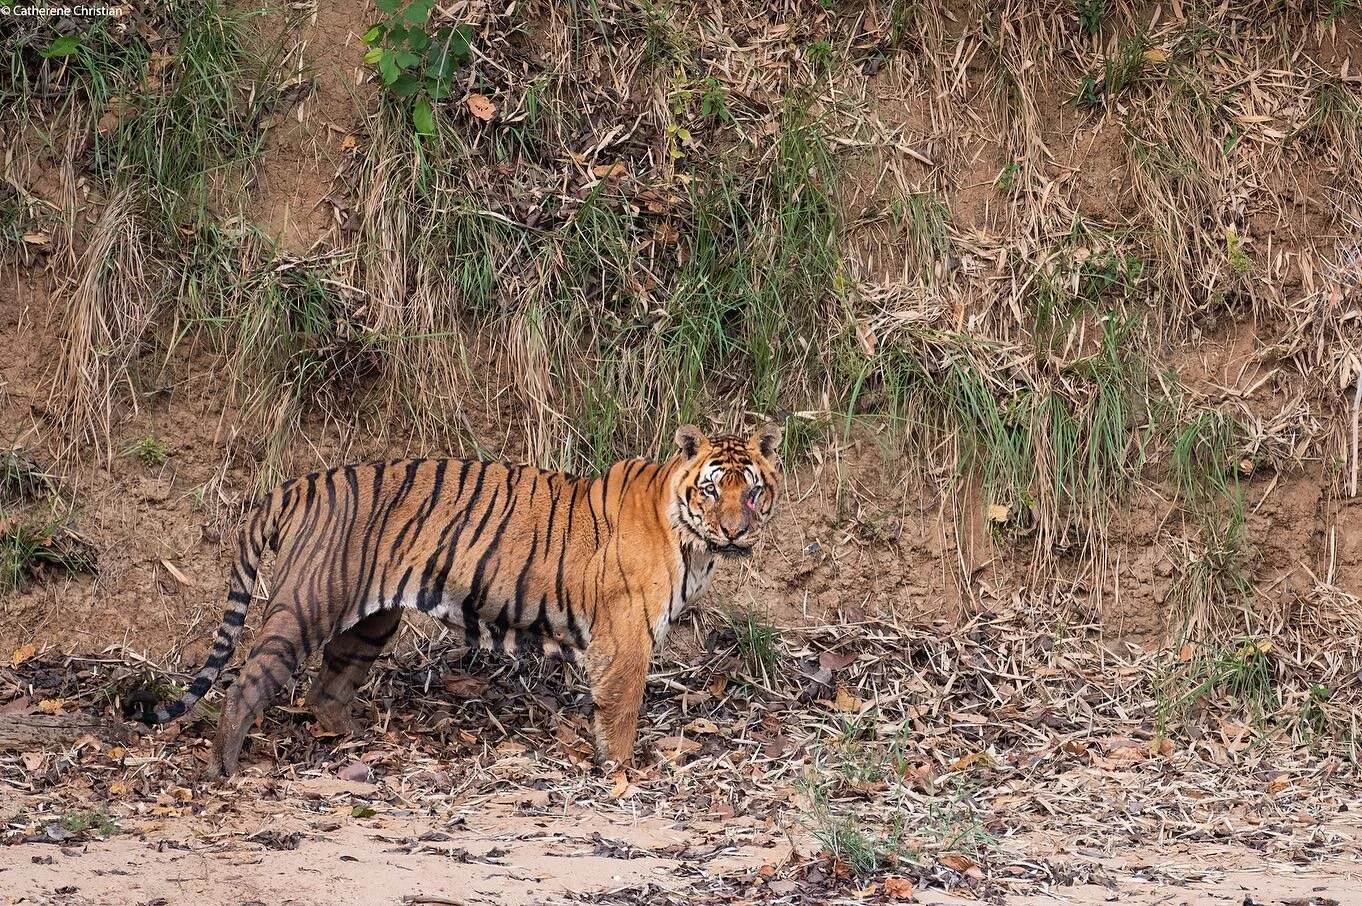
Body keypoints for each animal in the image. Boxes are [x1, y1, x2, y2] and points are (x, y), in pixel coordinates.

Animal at [127, 423, 783, 777]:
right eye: (711, 490)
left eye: (751, 493)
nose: (736, 532)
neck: (692, 541)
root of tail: (298, 484)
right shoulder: (624, 640)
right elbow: (620, 712)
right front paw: (623, 775)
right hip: (306, 606)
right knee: (245, 682)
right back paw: (224, 766)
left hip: (371, 621)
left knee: (325, 689)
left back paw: (359, 739)